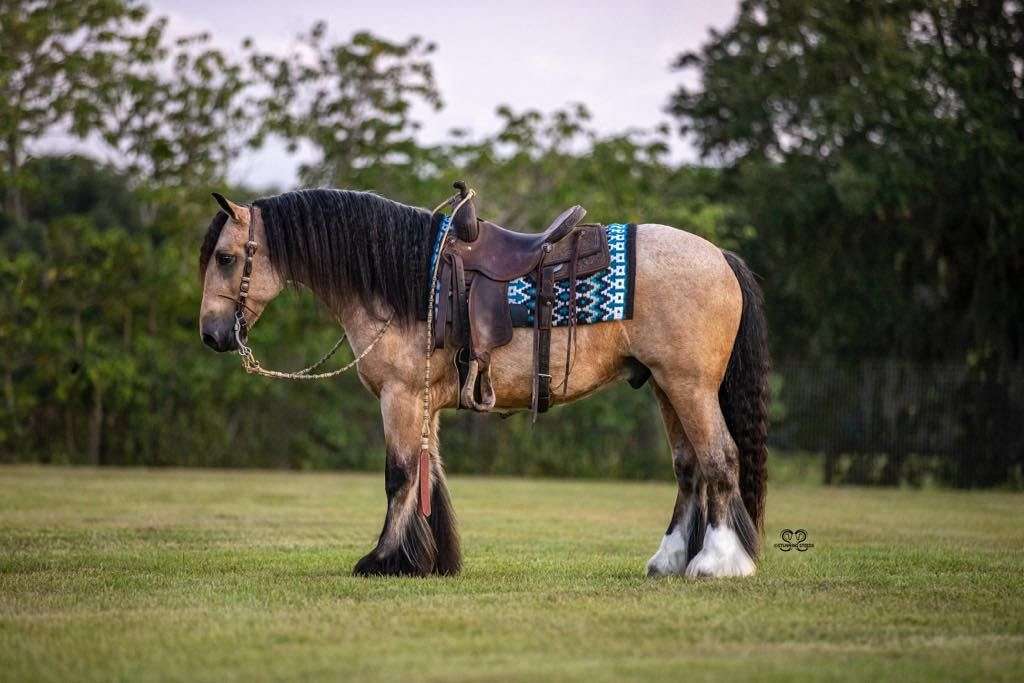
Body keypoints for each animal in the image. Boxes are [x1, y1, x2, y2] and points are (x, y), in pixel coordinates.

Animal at [197, 187, 769, 578]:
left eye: (225, 258)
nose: (211, 334)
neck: (406, 282)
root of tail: (720, 258)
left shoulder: (399, 397)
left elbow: (399, 475)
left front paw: (383, 559)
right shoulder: (423, 404)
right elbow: (429, 474)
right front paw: (430, 560)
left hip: (690, 387)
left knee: (720, 458)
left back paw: (718, 561)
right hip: (665, 387)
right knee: (690, 468)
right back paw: (669, 560)